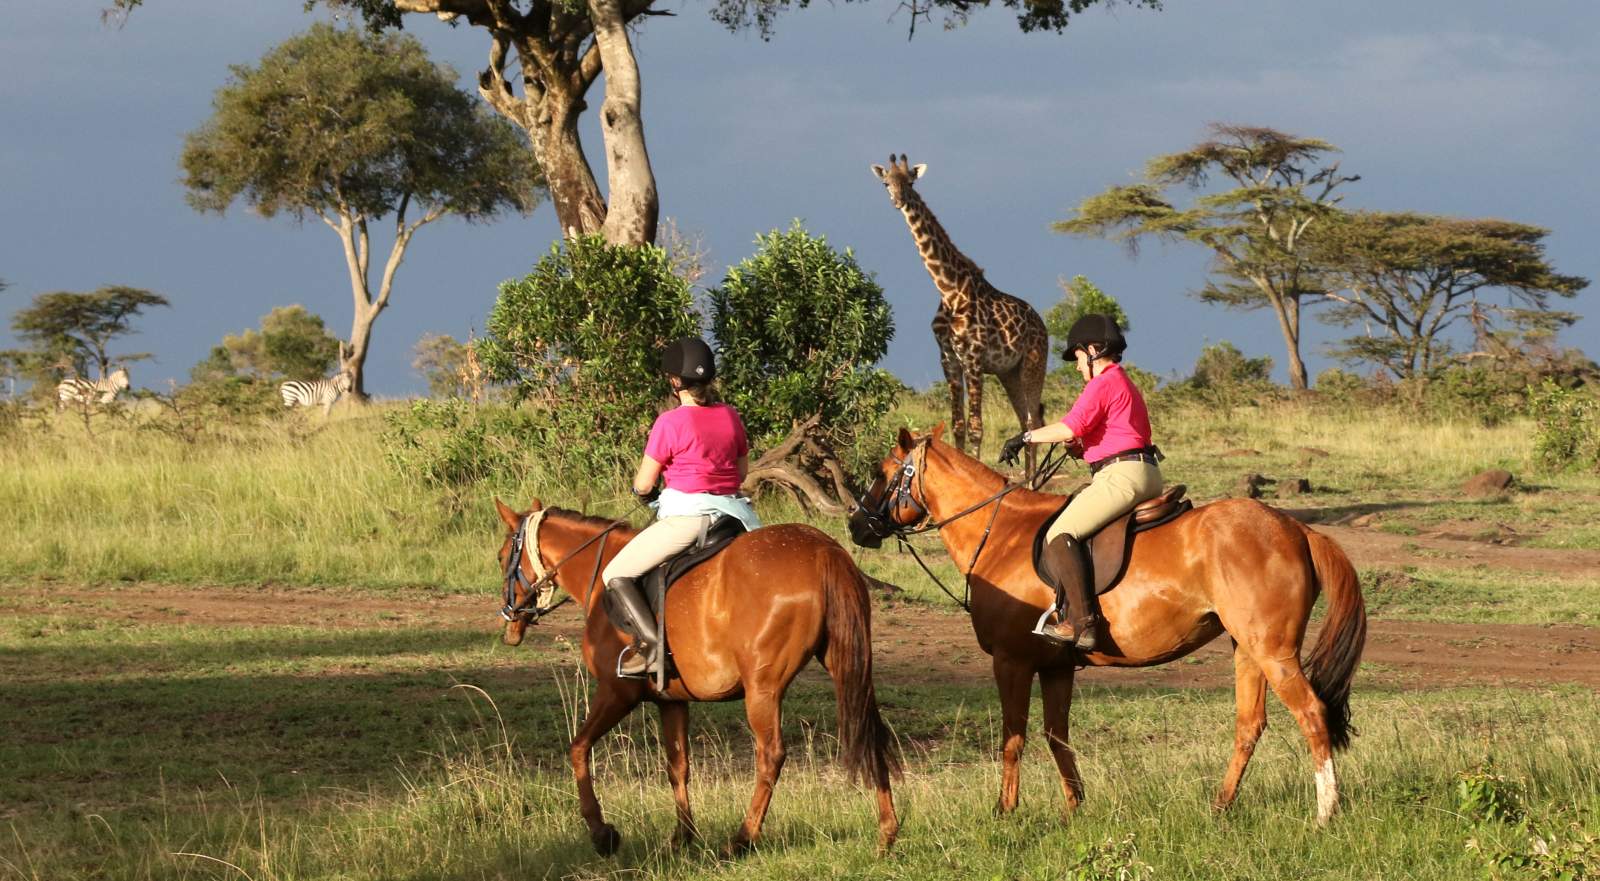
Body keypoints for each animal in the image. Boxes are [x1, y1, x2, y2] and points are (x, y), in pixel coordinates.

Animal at [493, 498, 901, 856]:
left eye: (501, 557)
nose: (510, 623)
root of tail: (824, 550)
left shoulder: (617, 692)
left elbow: (578, 748)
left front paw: (601, 833)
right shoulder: (671, 701)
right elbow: (678, 767)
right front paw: (681, 838)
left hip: (762, 690)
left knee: (771, 755)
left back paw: (741, 839)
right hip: (847, 666)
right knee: (871, 734)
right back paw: (886, 834)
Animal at [847, 426, 1366, 824]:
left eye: (882, 473)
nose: (856, 526)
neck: (999, 532)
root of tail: (1296, 529)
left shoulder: (1012, 662)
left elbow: (1013, 738)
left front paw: (1005, 811)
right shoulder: (1055, 666)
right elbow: (1056, 736)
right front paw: (1075, 807)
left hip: (1274, 651)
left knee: (1312, 715)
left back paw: (1326, 813)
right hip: (1248, 649)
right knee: (1249, 725)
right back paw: (1221, 805)